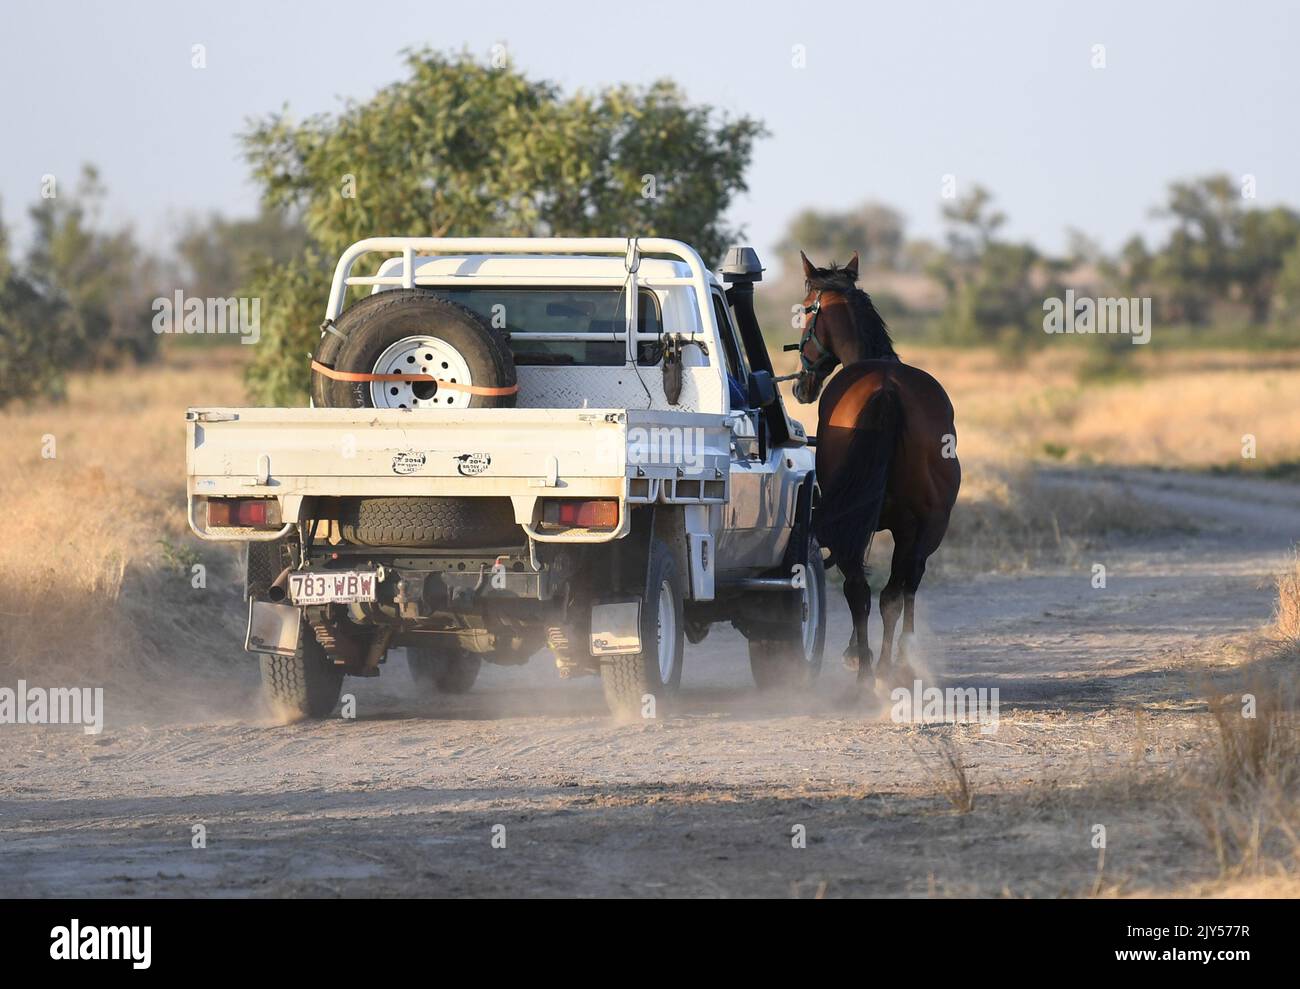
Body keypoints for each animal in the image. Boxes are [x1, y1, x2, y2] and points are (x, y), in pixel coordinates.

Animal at [788, 251, 961, 691]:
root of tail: (887, 389)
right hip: (923, 526)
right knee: (894, 589)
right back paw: (890, 664)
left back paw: (871, 667)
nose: (801, 386)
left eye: (805, 311)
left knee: (866, 589)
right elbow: (900, 590)